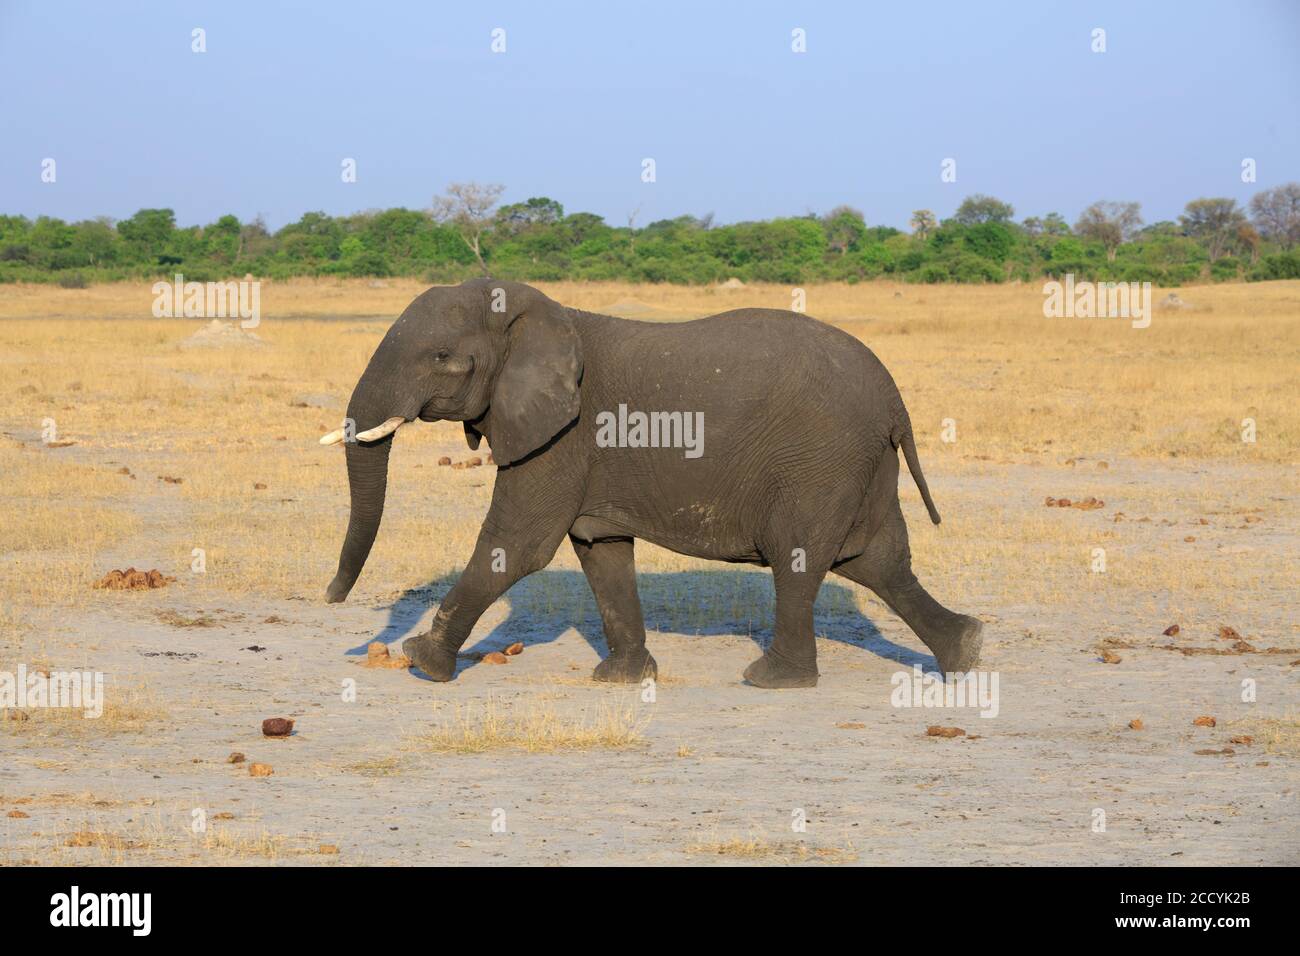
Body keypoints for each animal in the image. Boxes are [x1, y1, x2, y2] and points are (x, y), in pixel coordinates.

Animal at [322, 279, 982, 688]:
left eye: (440, 357)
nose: (331, 597)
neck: (538, 314)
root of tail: (895, 398)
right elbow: (601, 551)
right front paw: (623, 680)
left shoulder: (564, 436)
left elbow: (518, 545)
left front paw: (423, 664)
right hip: (858, 462)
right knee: (880, 562)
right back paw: (966, 653)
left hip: (821, 458)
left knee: (799, 558)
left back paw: (771, 680)